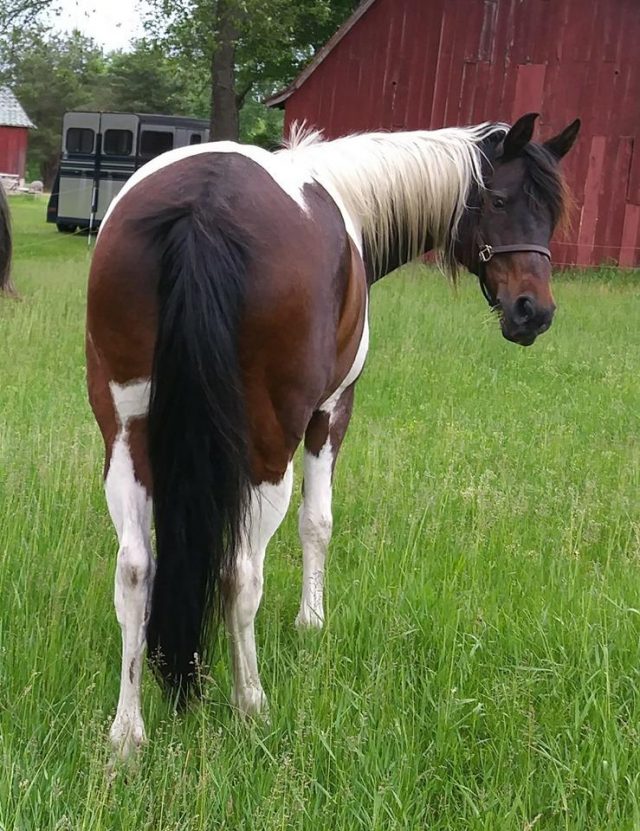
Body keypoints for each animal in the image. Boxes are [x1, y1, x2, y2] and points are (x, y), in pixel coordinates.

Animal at [86, 112, 579, 757]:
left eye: (552, 214)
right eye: (499, 200)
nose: (533, 313)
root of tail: (206, 203)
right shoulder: (331, 411)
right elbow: (317, 523)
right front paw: (311, 624)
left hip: (125, 433)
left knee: (135, 567)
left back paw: (128, 734)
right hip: (269, 448)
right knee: (240, 571)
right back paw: (251, 705)